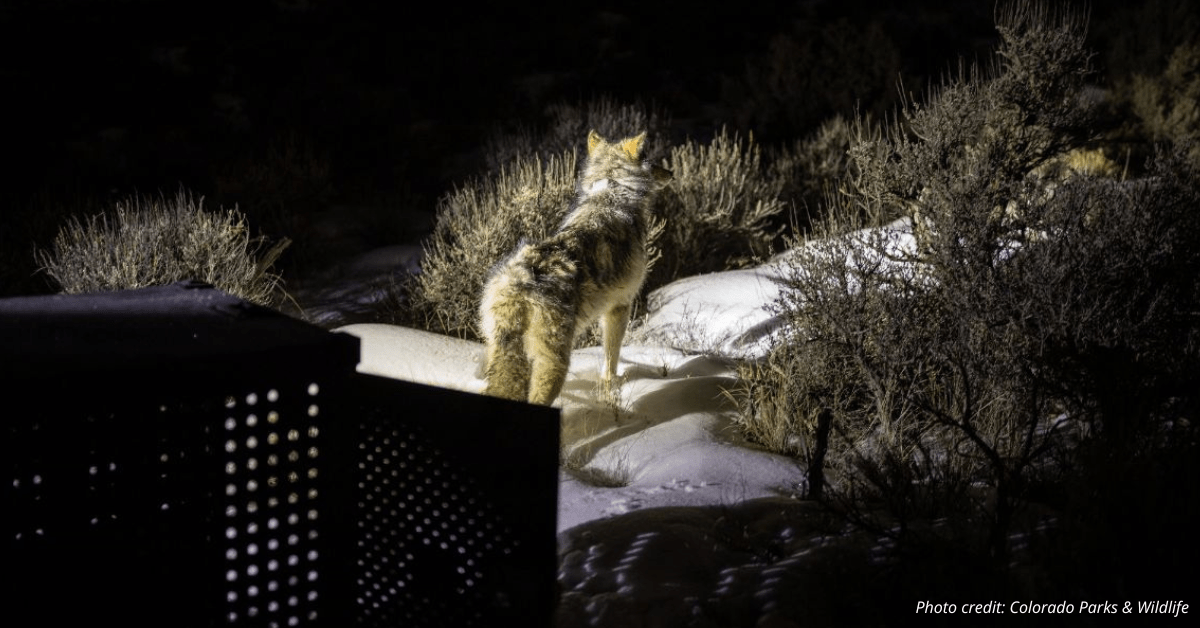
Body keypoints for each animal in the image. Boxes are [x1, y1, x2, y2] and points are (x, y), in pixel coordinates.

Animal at [480, 130, 672, 405]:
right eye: (650, 158)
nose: (671, 173)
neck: (614, 190)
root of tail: (518, 282)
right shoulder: (620, 307)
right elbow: (611, 358)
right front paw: (611, 389)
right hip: (554, 364)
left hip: (501, 355)